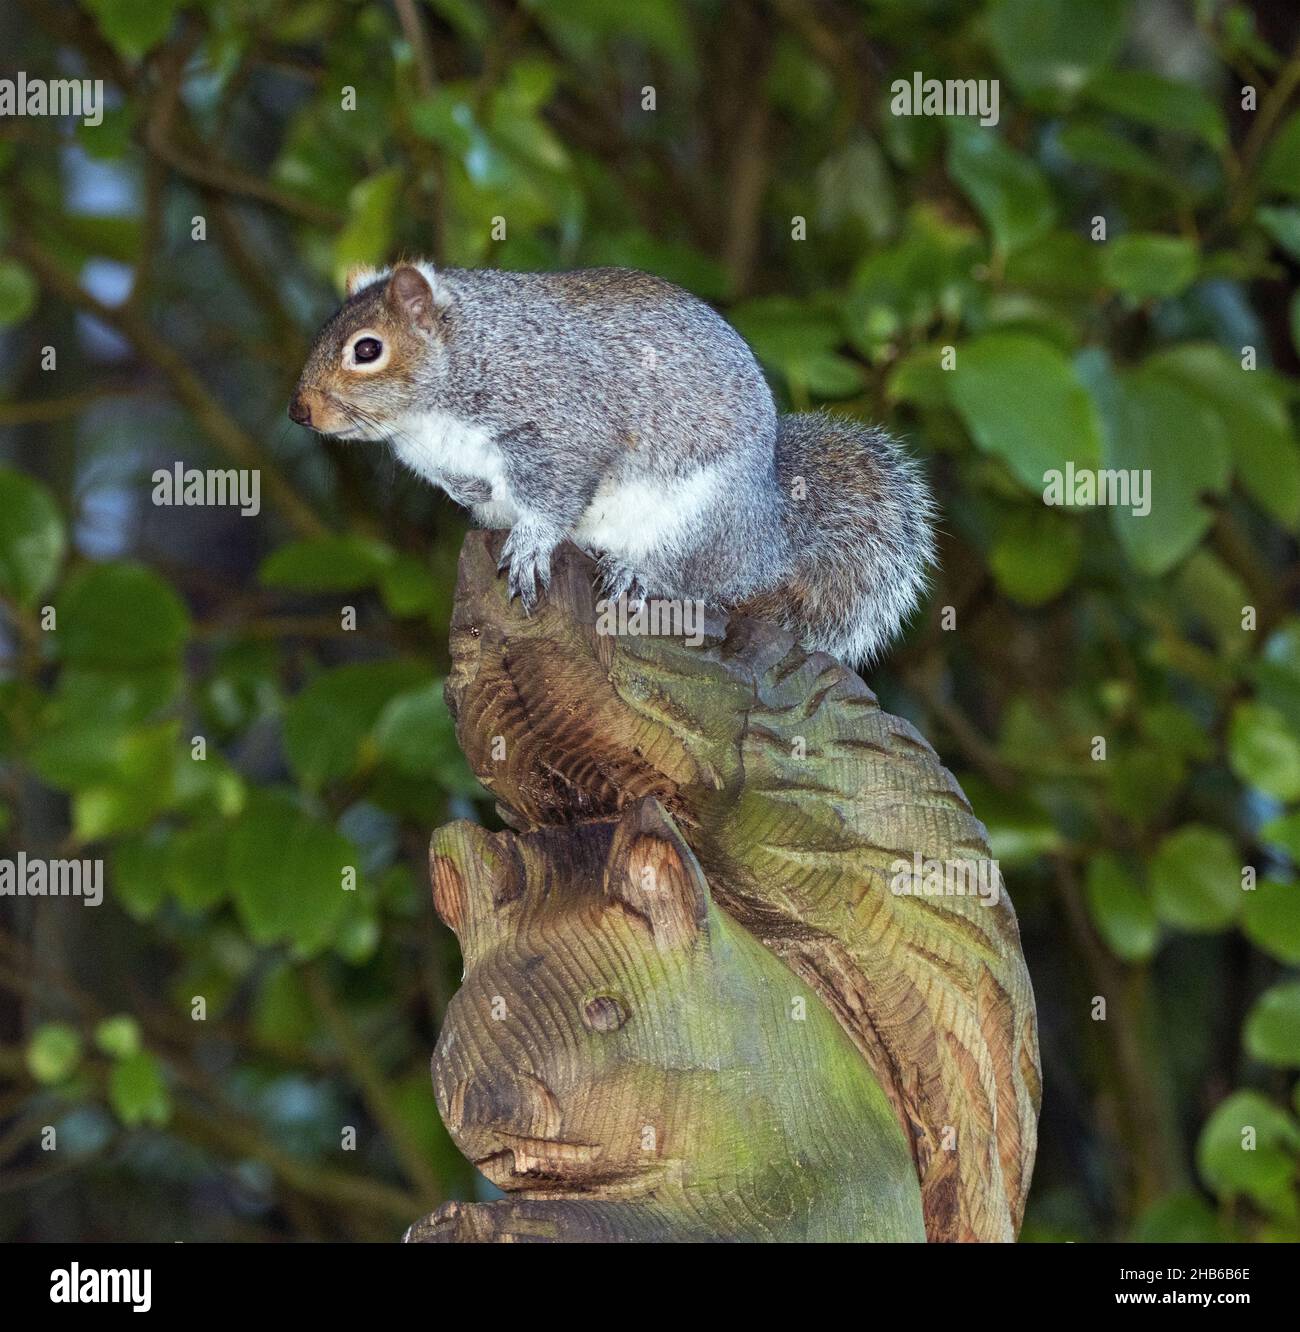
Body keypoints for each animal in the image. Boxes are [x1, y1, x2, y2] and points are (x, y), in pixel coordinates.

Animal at [291, 262, 936, 665]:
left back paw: (638, 573)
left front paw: (530, 543)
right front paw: (474, 495)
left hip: (695, 524)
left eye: (367, 349)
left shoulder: (564, 426)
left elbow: (555, 495)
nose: (299, 411)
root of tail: (770, 536)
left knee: (698, 583)